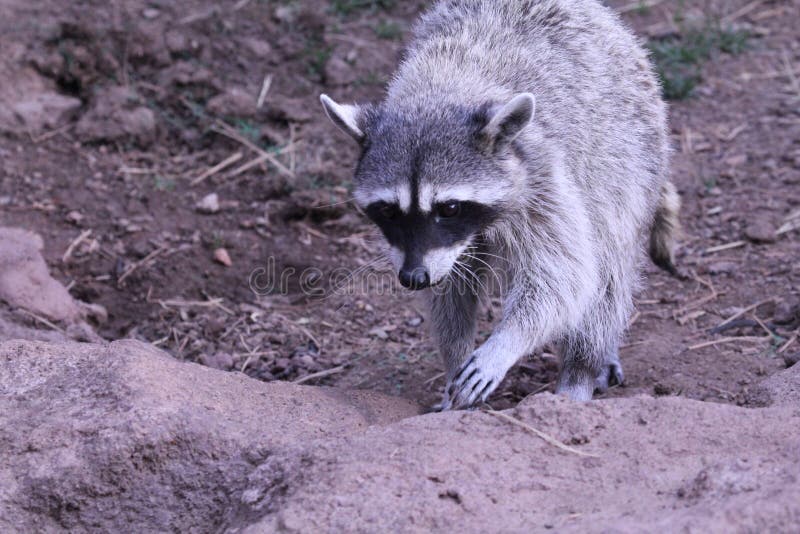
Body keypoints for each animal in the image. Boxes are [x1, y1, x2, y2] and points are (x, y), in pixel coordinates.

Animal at [320, 0, 679, 410]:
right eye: (389, 211)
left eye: (449, 209)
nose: (413, 278)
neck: (439, 90)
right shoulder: (435, 249)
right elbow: (450, 288)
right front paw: (454, 358)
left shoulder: (540, 176)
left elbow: (564, 275)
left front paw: (506, 343)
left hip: (626, 150)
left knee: (606, 263)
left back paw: (580, 371)